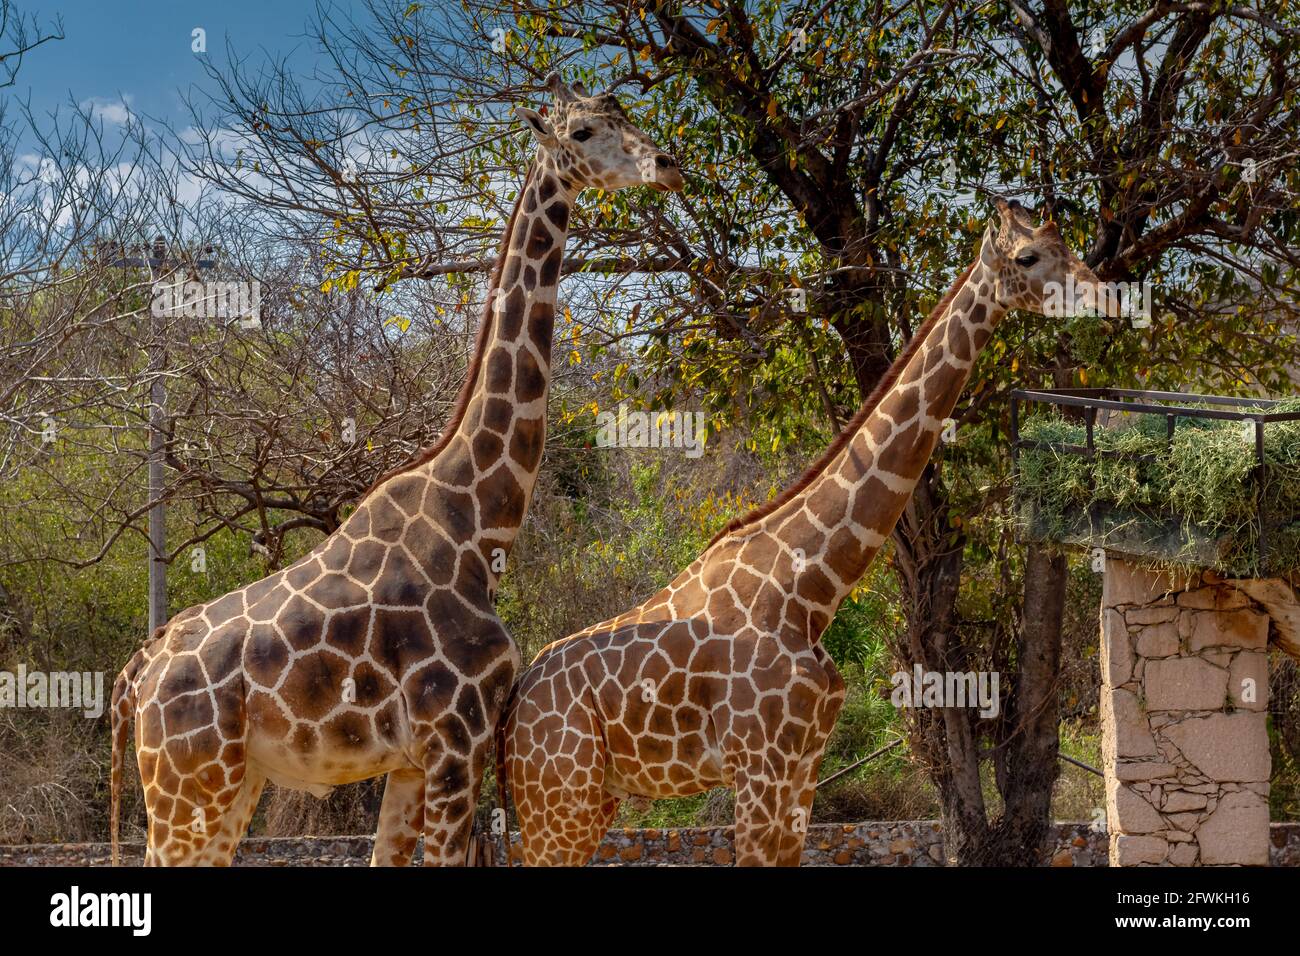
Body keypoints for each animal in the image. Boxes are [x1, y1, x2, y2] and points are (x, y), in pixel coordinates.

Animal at [108, 74, 683, 867]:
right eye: (584, 132)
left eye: (623, 112)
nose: (667, 162)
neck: (479, 525)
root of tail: (137, 673)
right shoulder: (457, 742)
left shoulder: (417, 763)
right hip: (187, 783)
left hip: (231, 782)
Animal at [498, 198, 1115, 866]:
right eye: (1028, 257)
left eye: (1068, 244)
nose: (1107, 296)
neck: (812, 587)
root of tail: (509, 714)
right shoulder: (760, 765)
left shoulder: (803, 766)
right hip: (559, 801)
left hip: (589, 800)